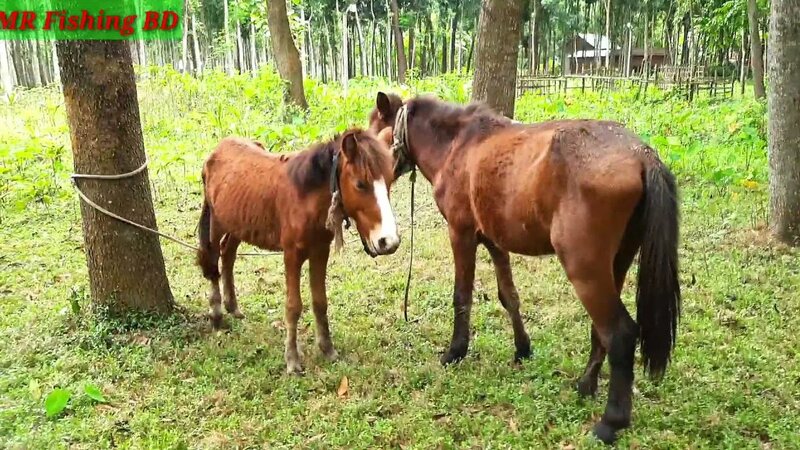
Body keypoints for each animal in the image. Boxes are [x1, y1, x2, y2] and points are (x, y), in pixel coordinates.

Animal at [196, 129, 399, 373]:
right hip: (216, 224)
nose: (388, 242)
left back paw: (232, 306)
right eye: (360, 184)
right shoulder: (292, 255)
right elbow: (293, 306)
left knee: (228, 254)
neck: (306, 199)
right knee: (213, 260)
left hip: (239, 222)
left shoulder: (320, 251)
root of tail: (217, 150)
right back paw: (217, 315)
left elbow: (320, 302)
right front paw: (292, 360)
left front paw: (327, 349)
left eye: (389, 182)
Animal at [369, 92, 680, 444]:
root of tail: (642, 156)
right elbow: (509, 297)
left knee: (621, 333)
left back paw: (611, 421)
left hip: (585, 270)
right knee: (602, 330)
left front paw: (456, 351)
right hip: (617, 262)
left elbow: (462, 296)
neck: (457, 144)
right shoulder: (494, 241)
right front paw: (522, 349)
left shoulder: (461, 234)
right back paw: (586, 385)